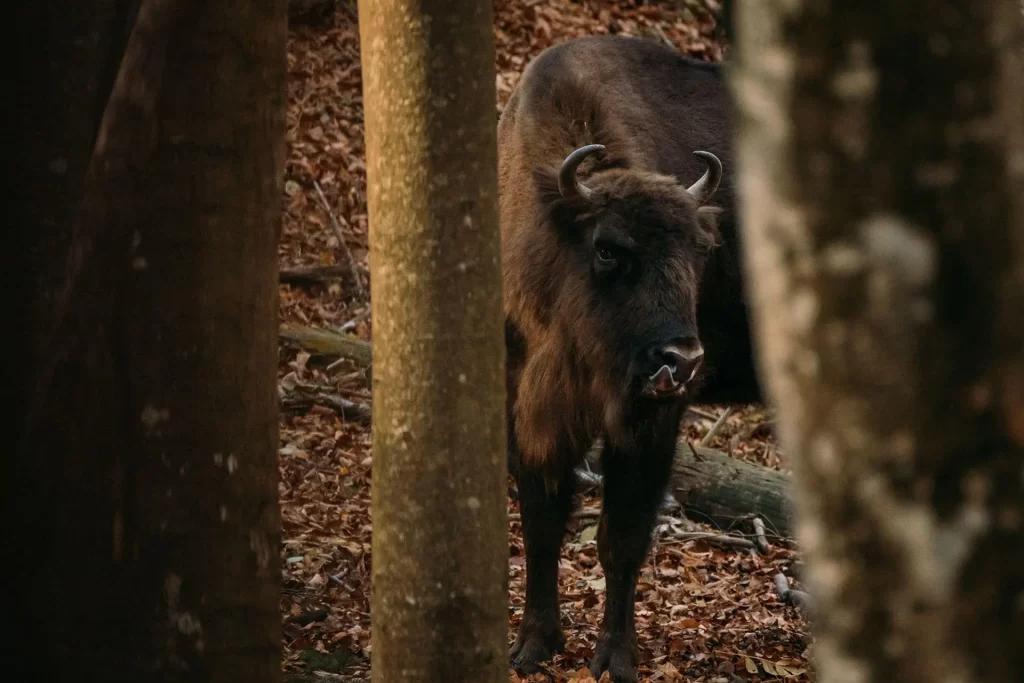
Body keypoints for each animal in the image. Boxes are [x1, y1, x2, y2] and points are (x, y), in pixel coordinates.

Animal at [499, 34, 762, 683]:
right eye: (609, 249)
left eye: (702, 248)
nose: (683, 358)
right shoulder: (526, 405)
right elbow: (542, 526)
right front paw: (533, 644)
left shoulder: (650, 422)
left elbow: (620, 538)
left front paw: (615, 659)